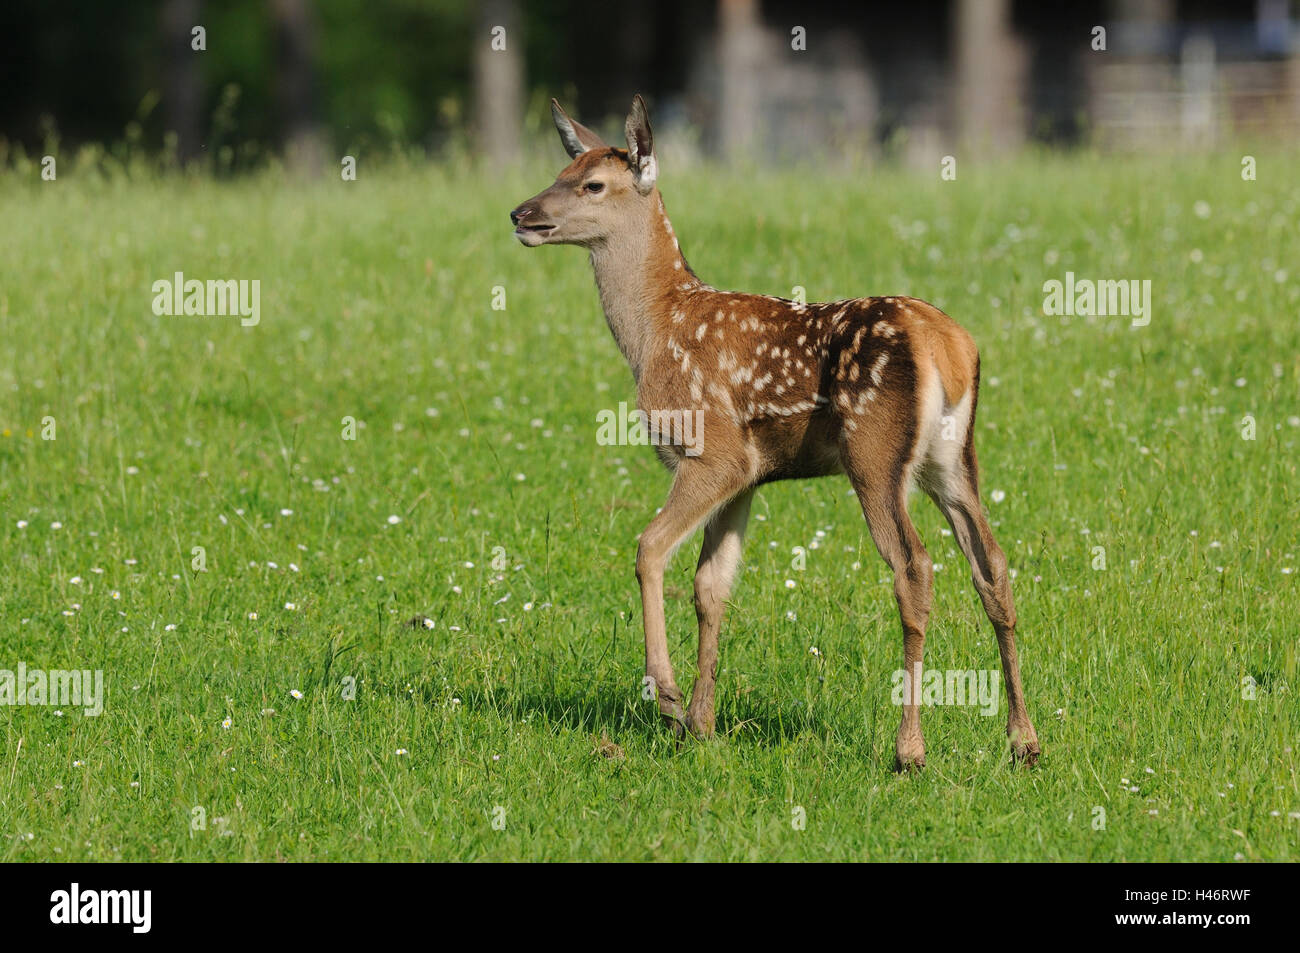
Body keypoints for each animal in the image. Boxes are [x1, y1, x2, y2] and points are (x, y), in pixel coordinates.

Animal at [510, 96, 1040, 770]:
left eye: (593, 184)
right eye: (561, 171)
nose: (521, 214)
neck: (656, 328)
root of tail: (948, 346)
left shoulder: (714, 451)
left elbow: (650, 548)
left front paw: (668, 698)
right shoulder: (748, 477)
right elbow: (711, 586)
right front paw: (702, 724)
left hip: (874, 452)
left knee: (915, 566)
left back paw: (909, 749)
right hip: (952, 457)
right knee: (991, 563)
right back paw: (1023, 740)